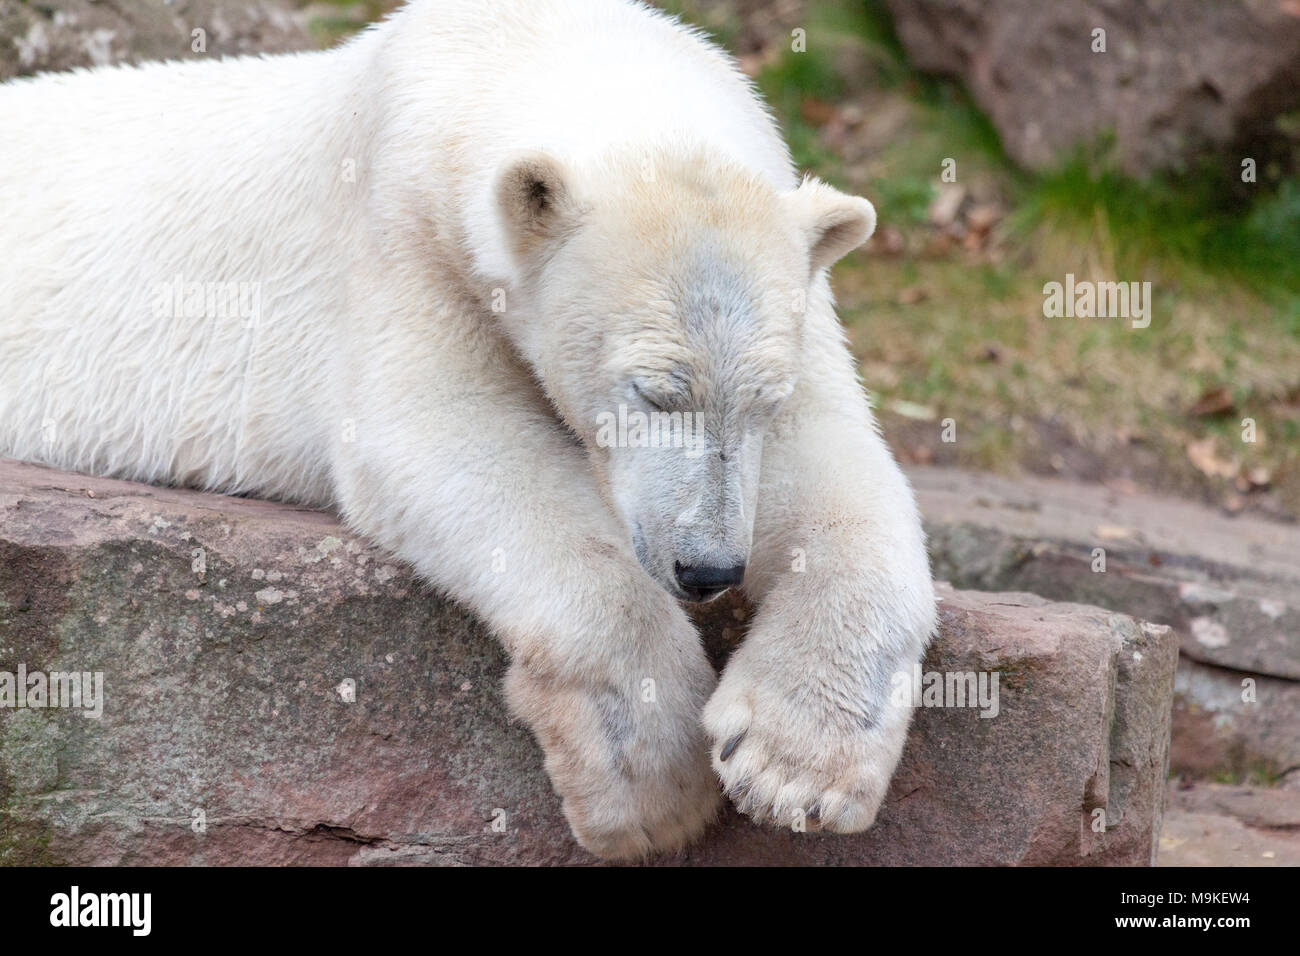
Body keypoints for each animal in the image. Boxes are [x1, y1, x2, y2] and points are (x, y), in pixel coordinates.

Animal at [0, 0, 937, 859]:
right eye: (652, 393)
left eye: (764, 401)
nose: (706, 569)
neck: (519, 38)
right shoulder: (402, 224)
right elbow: (438, 430)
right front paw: (652, 785)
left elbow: (835, 462)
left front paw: (792, 767)